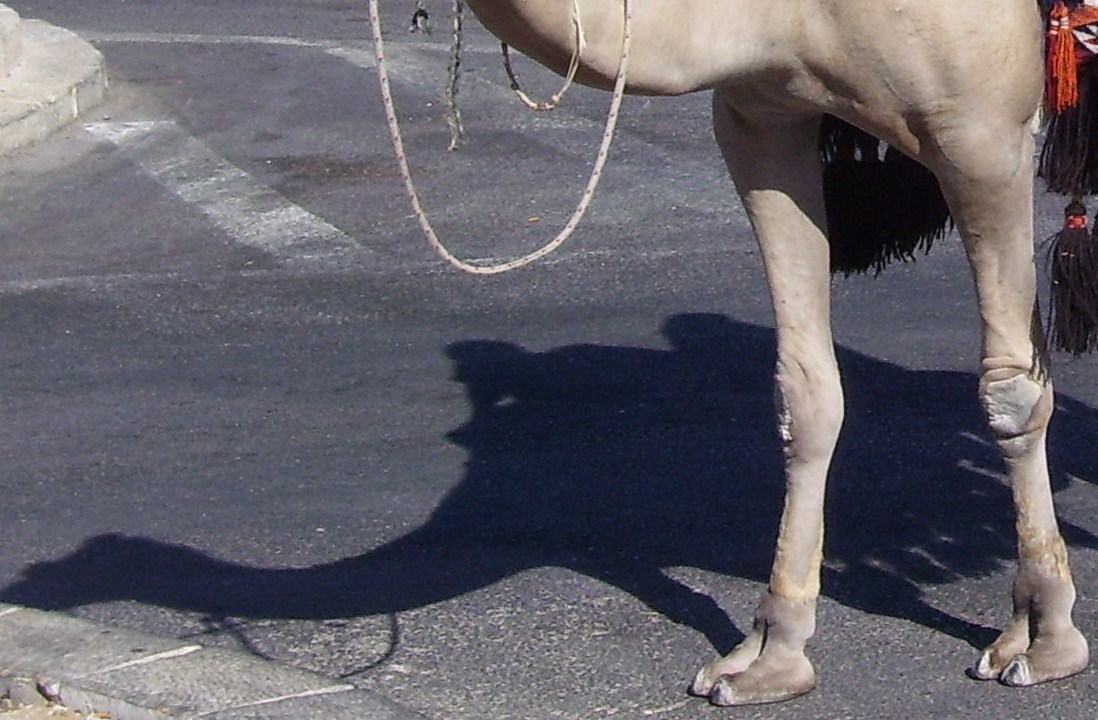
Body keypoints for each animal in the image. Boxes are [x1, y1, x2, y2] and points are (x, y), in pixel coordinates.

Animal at [449, 0, 1097, 707]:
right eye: (469, 437)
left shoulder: (983, 132)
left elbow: (1012, 389)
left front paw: (1043, 635)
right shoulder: (762, 114)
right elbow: (806, 393)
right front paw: (769, 654)